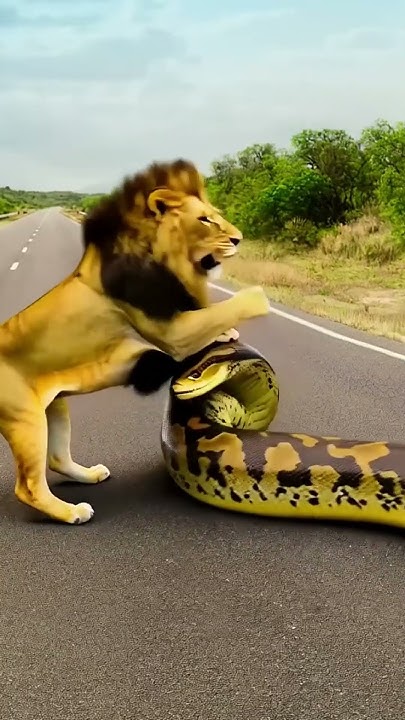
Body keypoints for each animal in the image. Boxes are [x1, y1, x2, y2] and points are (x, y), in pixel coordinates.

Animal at [0, 158, 270, 525]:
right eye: (204, 219)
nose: (238, 239)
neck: (169, 260)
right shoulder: (171, 333)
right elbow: (233, 305)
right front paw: (258, 301)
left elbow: (214, 315)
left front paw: (226, 333)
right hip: (24, 418)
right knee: (27, 486)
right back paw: (72, 513)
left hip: (53, 407)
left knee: (56, 458)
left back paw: (89, 475)